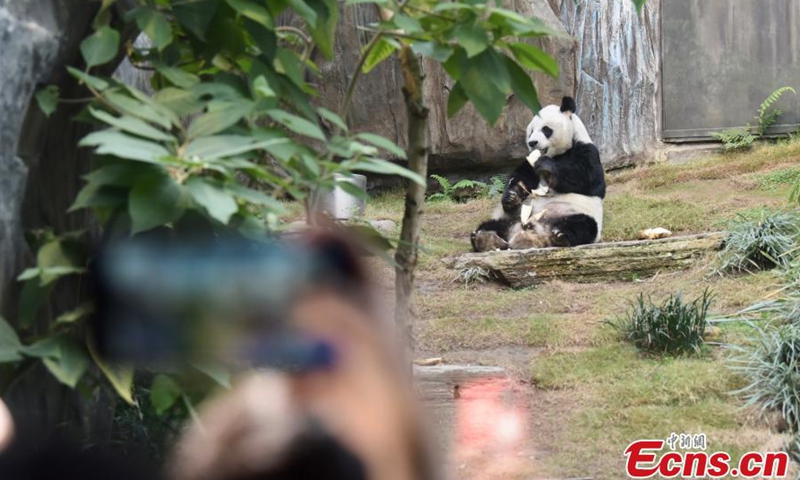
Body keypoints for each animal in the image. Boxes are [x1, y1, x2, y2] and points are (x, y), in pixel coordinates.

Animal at [471, 97, 606, 252]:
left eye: (546, 129)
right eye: (531, 131)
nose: (532, 142)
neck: (557, 154)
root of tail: (536, 231)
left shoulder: (587, 150)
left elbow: (588, 180)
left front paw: (547, 166)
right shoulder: (528, 162)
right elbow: (521, 177)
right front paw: (512, 196)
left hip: (576, 213)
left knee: (582, 226)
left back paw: (560, 236)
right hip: (510, 218)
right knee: (491, 225)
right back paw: (485, 238)